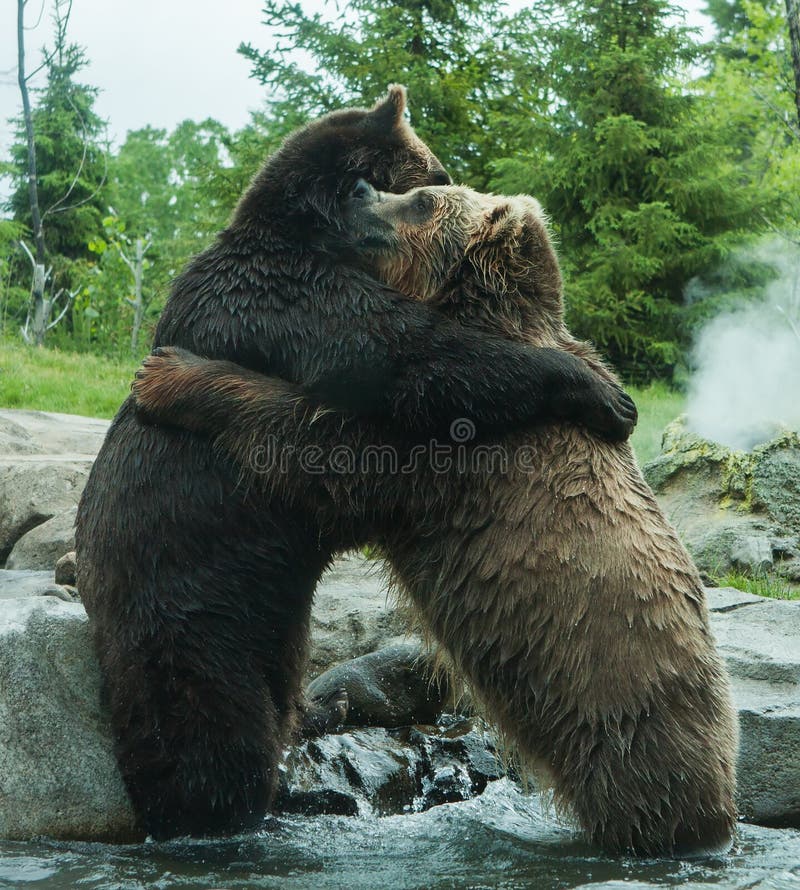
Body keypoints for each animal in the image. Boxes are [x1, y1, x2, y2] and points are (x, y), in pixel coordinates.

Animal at [75, 88, 638, 841]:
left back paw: (311, 722)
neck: (309, 230)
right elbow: (404, 357)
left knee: (280, 681)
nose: (453, 180)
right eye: (431, 173)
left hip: (276, 617)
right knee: (213, 727)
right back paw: (221, 810)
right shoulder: (293, 296)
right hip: (190, 608)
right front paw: (600, 391)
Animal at [131, 182, 738, 857]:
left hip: (622, 711)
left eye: (422, 199)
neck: (482, 314)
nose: (363, 190)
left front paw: (170, 374)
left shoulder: (460, 448)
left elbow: (325, 444)